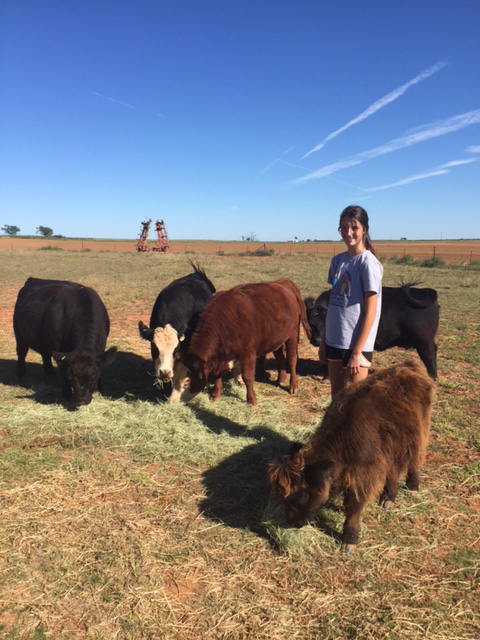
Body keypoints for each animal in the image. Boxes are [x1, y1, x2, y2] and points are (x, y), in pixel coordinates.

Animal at [13, 277, 116, 406]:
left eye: (92, 377)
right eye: (71, 376)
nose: (80, 400)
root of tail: (32, 279)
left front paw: (99, 387)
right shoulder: (60, 351)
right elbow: (63, 373)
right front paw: (66, 394)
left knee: (45, 354)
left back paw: (50, 372)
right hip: (19, 332)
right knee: (21, 352)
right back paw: (20, 373)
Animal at [169, 279, 311, 406]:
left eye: (187, 381)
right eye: (173, 378)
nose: (171, 401)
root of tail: (284, 282)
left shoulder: (248, 353)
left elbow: (247, 376)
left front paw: (251, 400)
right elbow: (217, 374)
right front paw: (216, 395)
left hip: (293, 334)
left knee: (292, 359)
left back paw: (293, 385)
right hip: (276, 337)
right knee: (279, 355)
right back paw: (281, 379)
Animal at [269, 359, 434, 552]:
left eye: (300, 495)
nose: (292, 522)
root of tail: (409, 365)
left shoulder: (363, 476)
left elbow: (354, 506)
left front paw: (349, 539)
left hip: (419, 433)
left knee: (415, 460)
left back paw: (412, 485)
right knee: (393, 471)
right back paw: (388, 498)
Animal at [305, 283, 439, 379]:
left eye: (328, 322)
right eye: (311, 323)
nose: (317, 340)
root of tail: (425, 291)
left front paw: (327, 376)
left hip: (424, 341)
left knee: (429, 355)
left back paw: (432, 377)